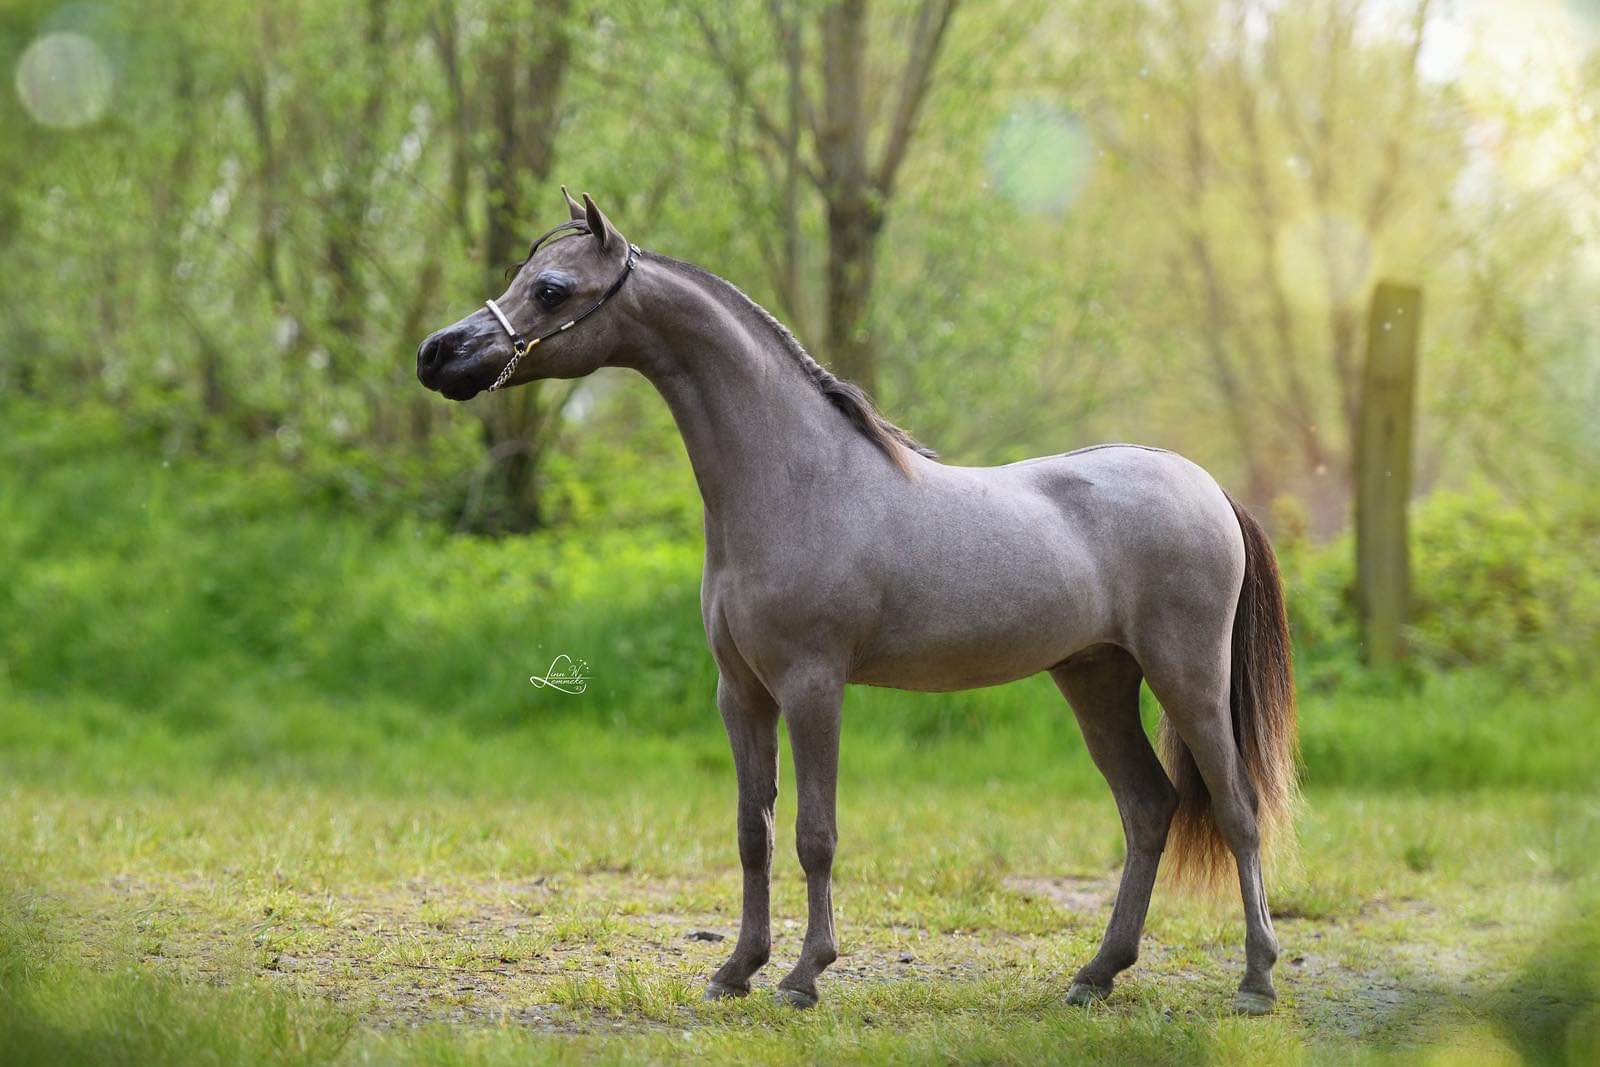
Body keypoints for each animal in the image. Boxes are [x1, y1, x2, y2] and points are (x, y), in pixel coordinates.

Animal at [416, 189, 1298, 1016]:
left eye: (553, 289)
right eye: (520, 276)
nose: (437, 353)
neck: (797, 481)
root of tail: (1207, 486)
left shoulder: (813, 687)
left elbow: (816, 833)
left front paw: (804, 975)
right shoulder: (740, 693)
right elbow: (753, 831)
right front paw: (736, 969)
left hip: (1187, 676)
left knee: (1236, 807)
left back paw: (1255, 980)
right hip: (1096, 677)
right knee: (1148, 809)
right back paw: (1095, 975)